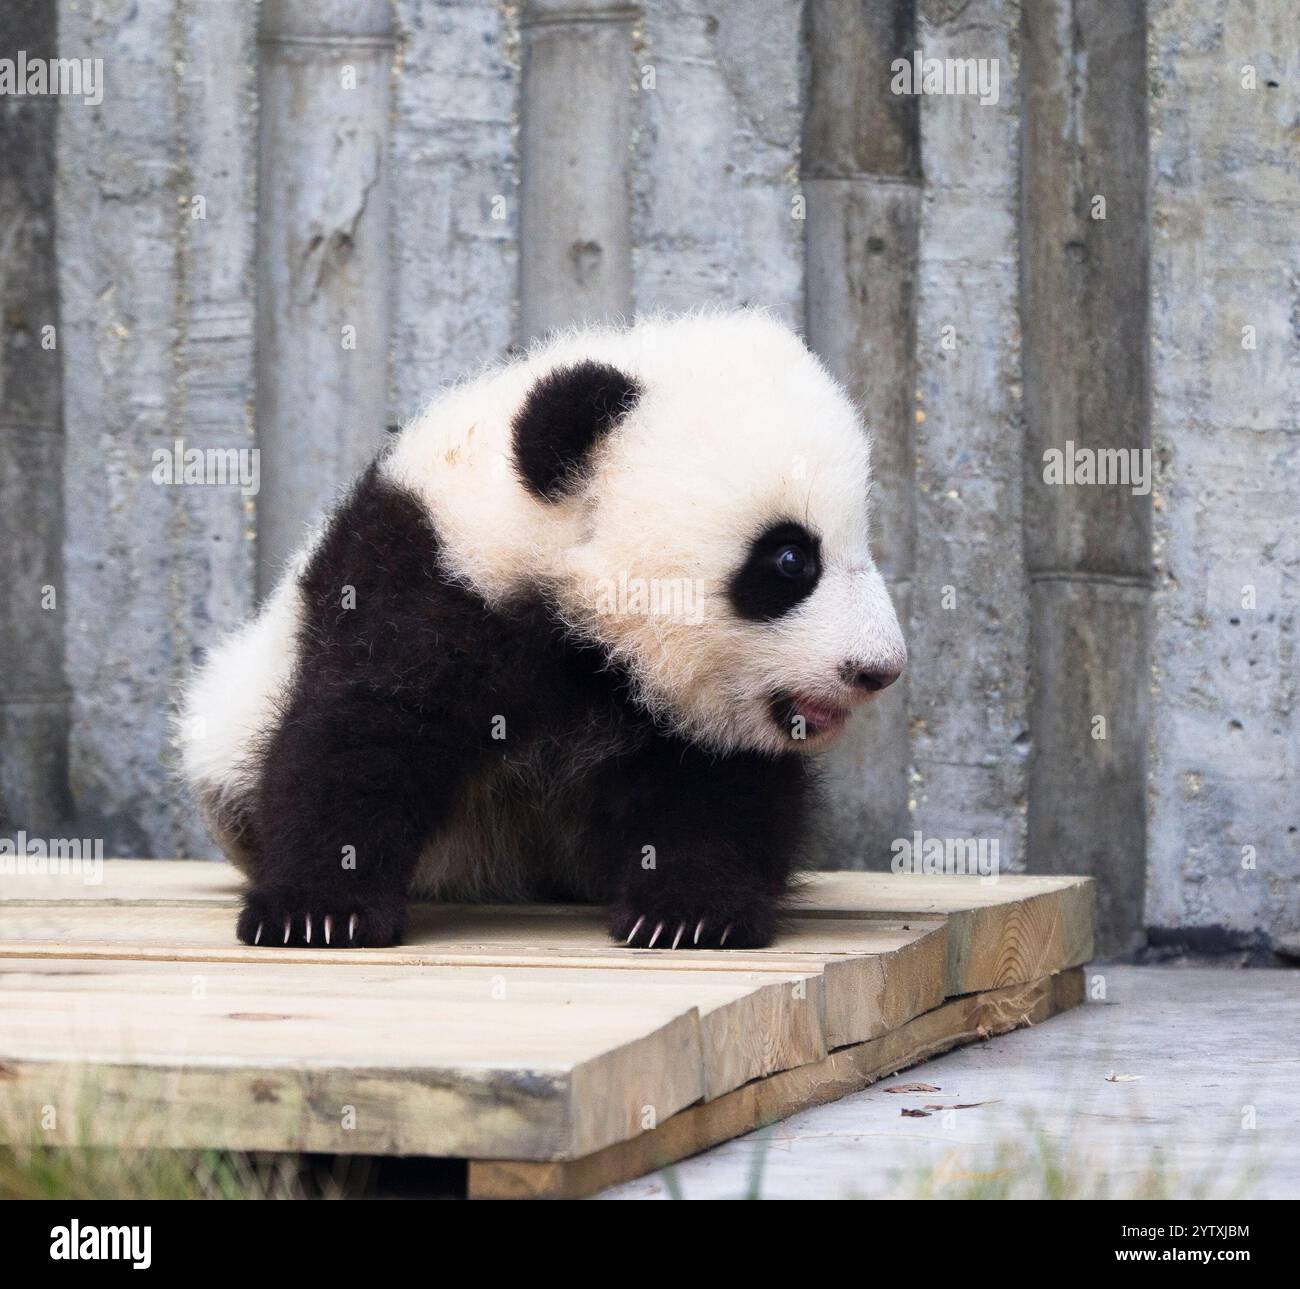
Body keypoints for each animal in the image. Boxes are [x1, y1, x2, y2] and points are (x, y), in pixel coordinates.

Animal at [178, 309, 907, 950]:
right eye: (791, 560)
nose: (880, 669)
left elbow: (720, 786)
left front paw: (692, 914)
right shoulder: (422, 577)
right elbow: (359, 731)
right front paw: (317, 911)